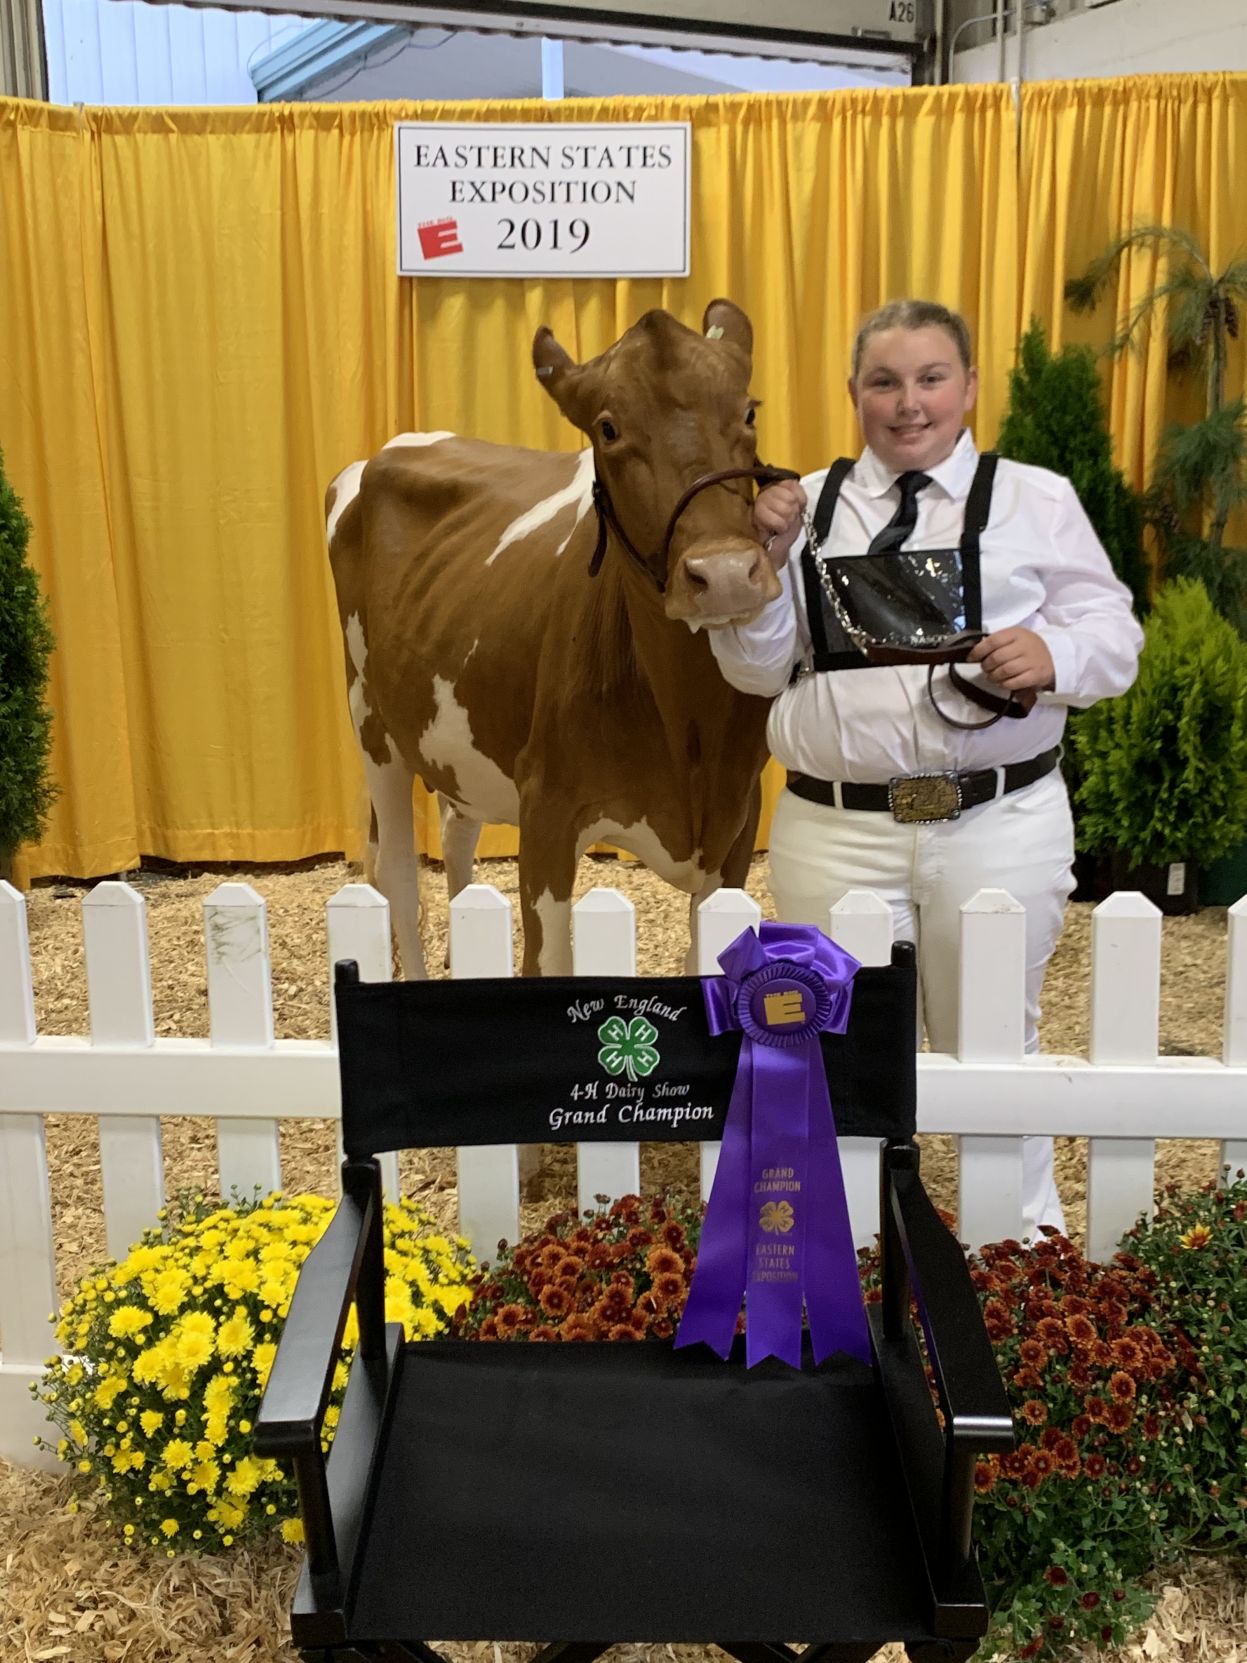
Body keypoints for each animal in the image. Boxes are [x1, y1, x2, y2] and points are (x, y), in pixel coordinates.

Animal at [327, 298, 784, 979]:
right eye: (608, 429)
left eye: (749, 410)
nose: (725, 574)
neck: (687, 722)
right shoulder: (546, 811)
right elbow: (550, 961)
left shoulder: (738, 818)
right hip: (371, 723)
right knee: (400, 881)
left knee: (456, 836)